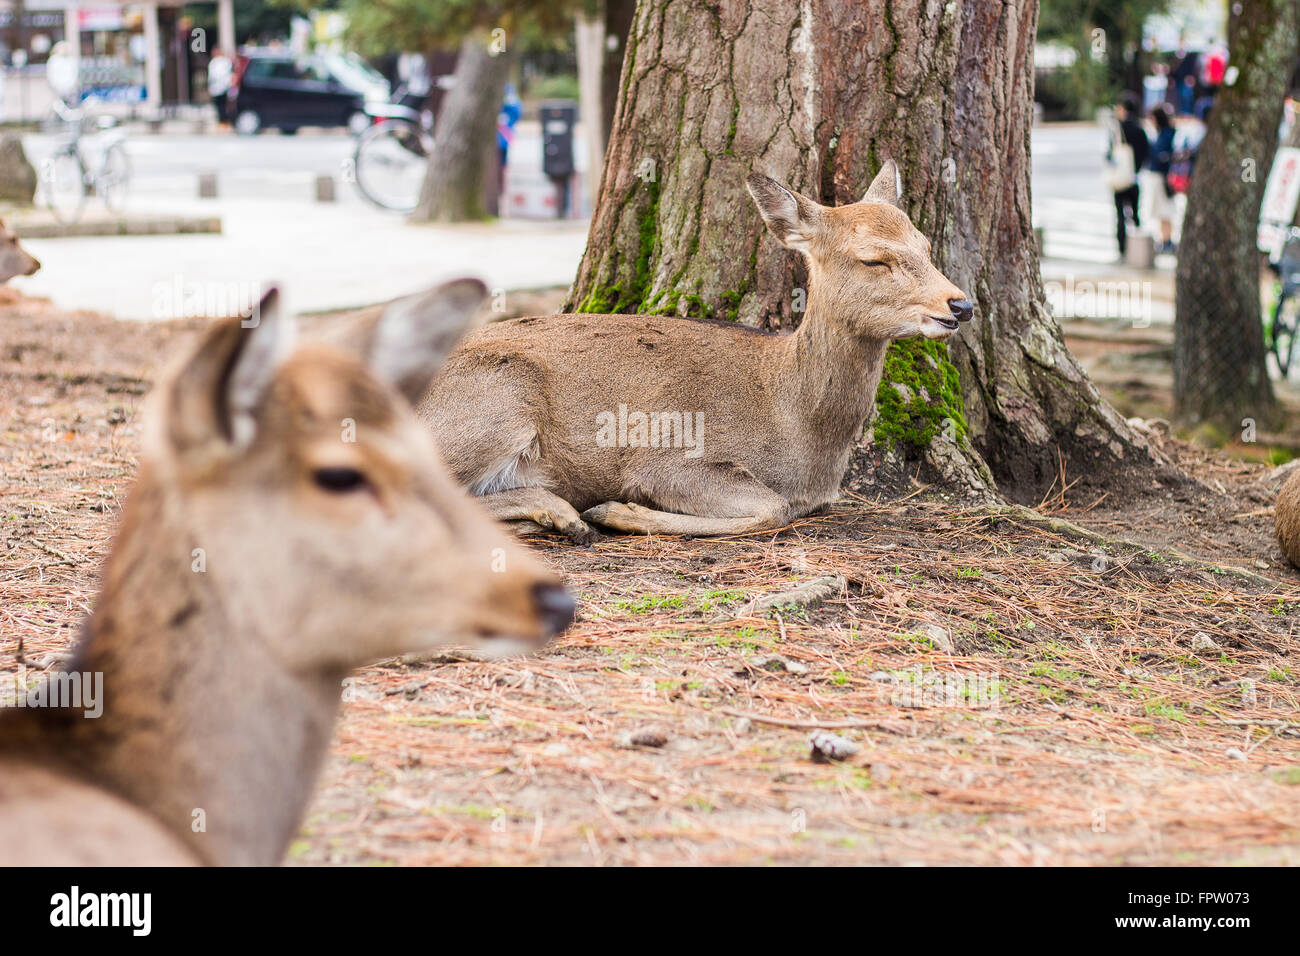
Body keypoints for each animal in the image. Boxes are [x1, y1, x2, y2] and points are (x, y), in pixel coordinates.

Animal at [418, 161, 973, 541]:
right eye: (873, 259)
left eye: (926, 246)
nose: (961, 304)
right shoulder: (669, 455)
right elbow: (771, 508)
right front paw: (617, 510)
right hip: (498, 395)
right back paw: (564, 513)